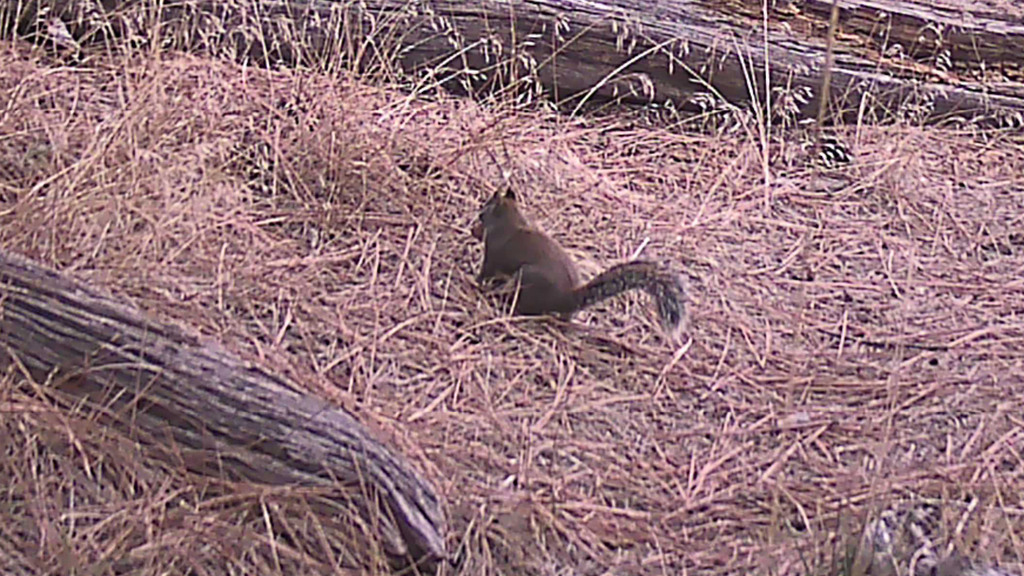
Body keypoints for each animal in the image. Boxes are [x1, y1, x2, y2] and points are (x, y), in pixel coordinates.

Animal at [470, 188, 687, 336]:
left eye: (483, 213)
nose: (473, 228)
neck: (511, 220)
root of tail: (566, 299)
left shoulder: (493, 254)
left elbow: (485, 271)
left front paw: (476, 282)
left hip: (526, 279)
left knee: (522, 305)